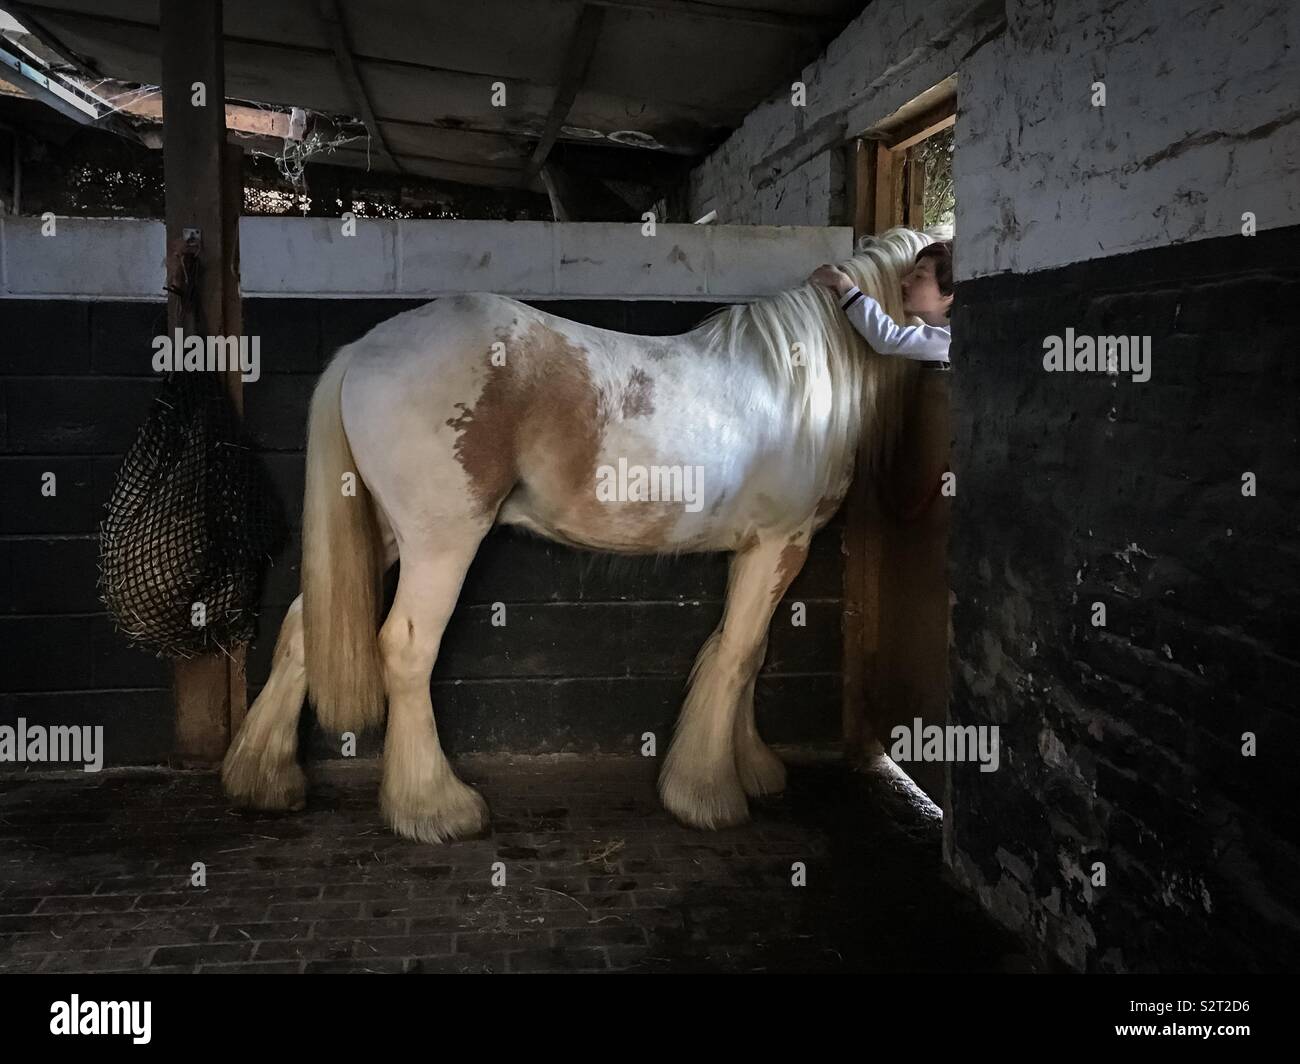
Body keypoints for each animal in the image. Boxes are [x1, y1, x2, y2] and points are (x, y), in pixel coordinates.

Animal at [221, 226, 931, 843]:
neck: (806, 379)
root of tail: (361, 351)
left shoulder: (754, 549)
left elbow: (744, 652)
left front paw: (750, 768)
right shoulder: (783, 544)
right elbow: (737, 657)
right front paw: (707, 795)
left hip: (384, 535)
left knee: (302, 626)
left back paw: (263, 778)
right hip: (440, 543)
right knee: (406, 648)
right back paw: (435, 808)